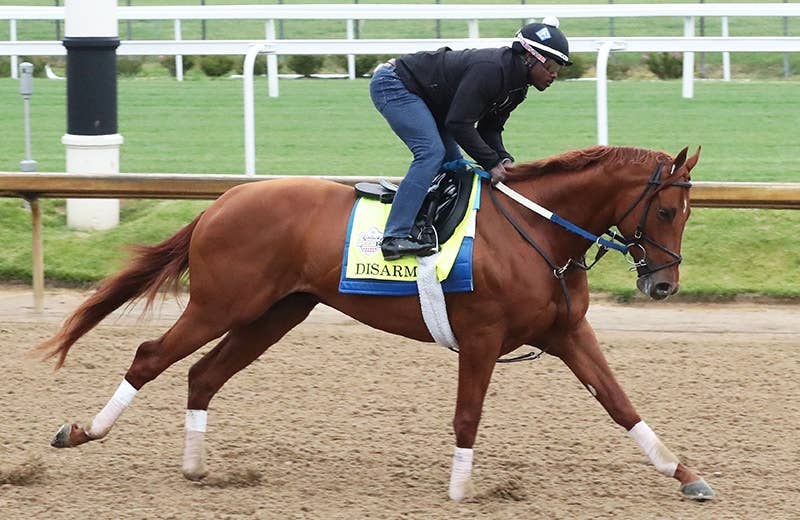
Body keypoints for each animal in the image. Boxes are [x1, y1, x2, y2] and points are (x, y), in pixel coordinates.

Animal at [36, 145, 714, 501]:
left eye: (687, 213)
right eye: (663, 209)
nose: (663, 284)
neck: (540, 232)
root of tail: (221, 203)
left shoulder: (568, 333)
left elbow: (620, 403)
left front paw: (684, 474)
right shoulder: (482, 337)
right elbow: (468, 415)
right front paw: (459, 491)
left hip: (275, 313)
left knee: (203, 375)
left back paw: (197, 468)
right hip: (220, 305)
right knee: (151, 356)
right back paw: (81, 431)